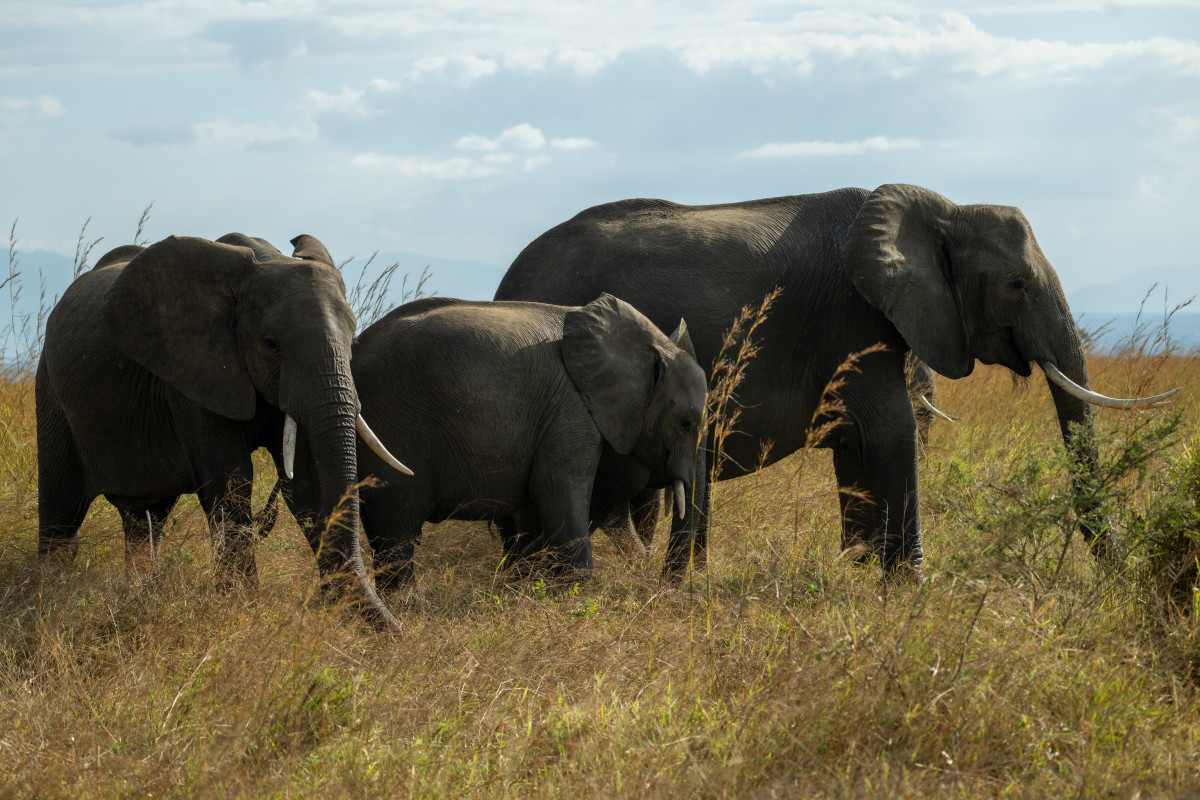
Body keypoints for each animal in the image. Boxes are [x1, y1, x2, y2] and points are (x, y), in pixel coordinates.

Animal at [36, 233, 412, 629]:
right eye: (271, 345)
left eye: (352, 340)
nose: (401, 629)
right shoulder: (194, 372)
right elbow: (231, 480)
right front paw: (243, 611)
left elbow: (307, 486)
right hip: (50, 392)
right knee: (60, 515)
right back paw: (47, 604)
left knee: (145, 520)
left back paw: (138, 599)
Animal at [282, 293, 708, 593]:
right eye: (687, 423)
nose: (663, 588)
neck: (644, 343)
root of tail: (353, 350)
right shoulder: (571, 409)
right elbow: (556, 489)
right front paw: (577, 595)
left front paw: (526, 587)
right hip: (394, 426)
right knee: (396, 530)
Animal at [494, 184, 1177, 575]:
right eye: (1017, 285)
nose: (1117, 578)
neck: (943, 212)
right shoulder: (854, 318)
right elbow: (891, 434)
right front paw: (910, 591)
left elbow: (857, 446)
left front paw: (857, 574)